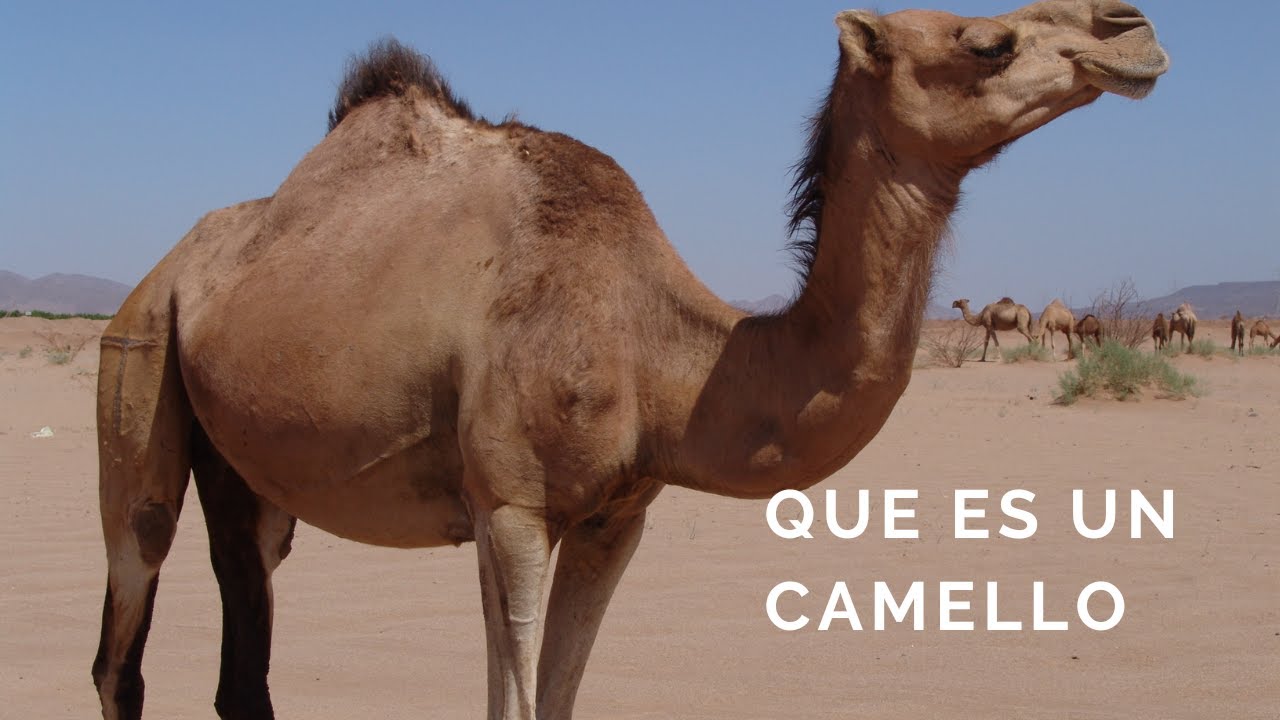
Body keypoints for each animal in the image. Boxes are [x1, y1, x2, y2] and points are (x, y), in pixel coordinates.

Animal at [91, 4, 1168, 719]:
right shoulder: (509, 504)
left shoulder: (617, 515)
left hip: (242, 462)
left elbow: (560, 701)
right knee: (125, 623)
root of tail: (171, 268)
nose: (1132, 28)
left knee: (242, 616)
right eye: (986, 40)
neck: (659, 355)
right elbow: (515, 704)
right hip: (138, 351)